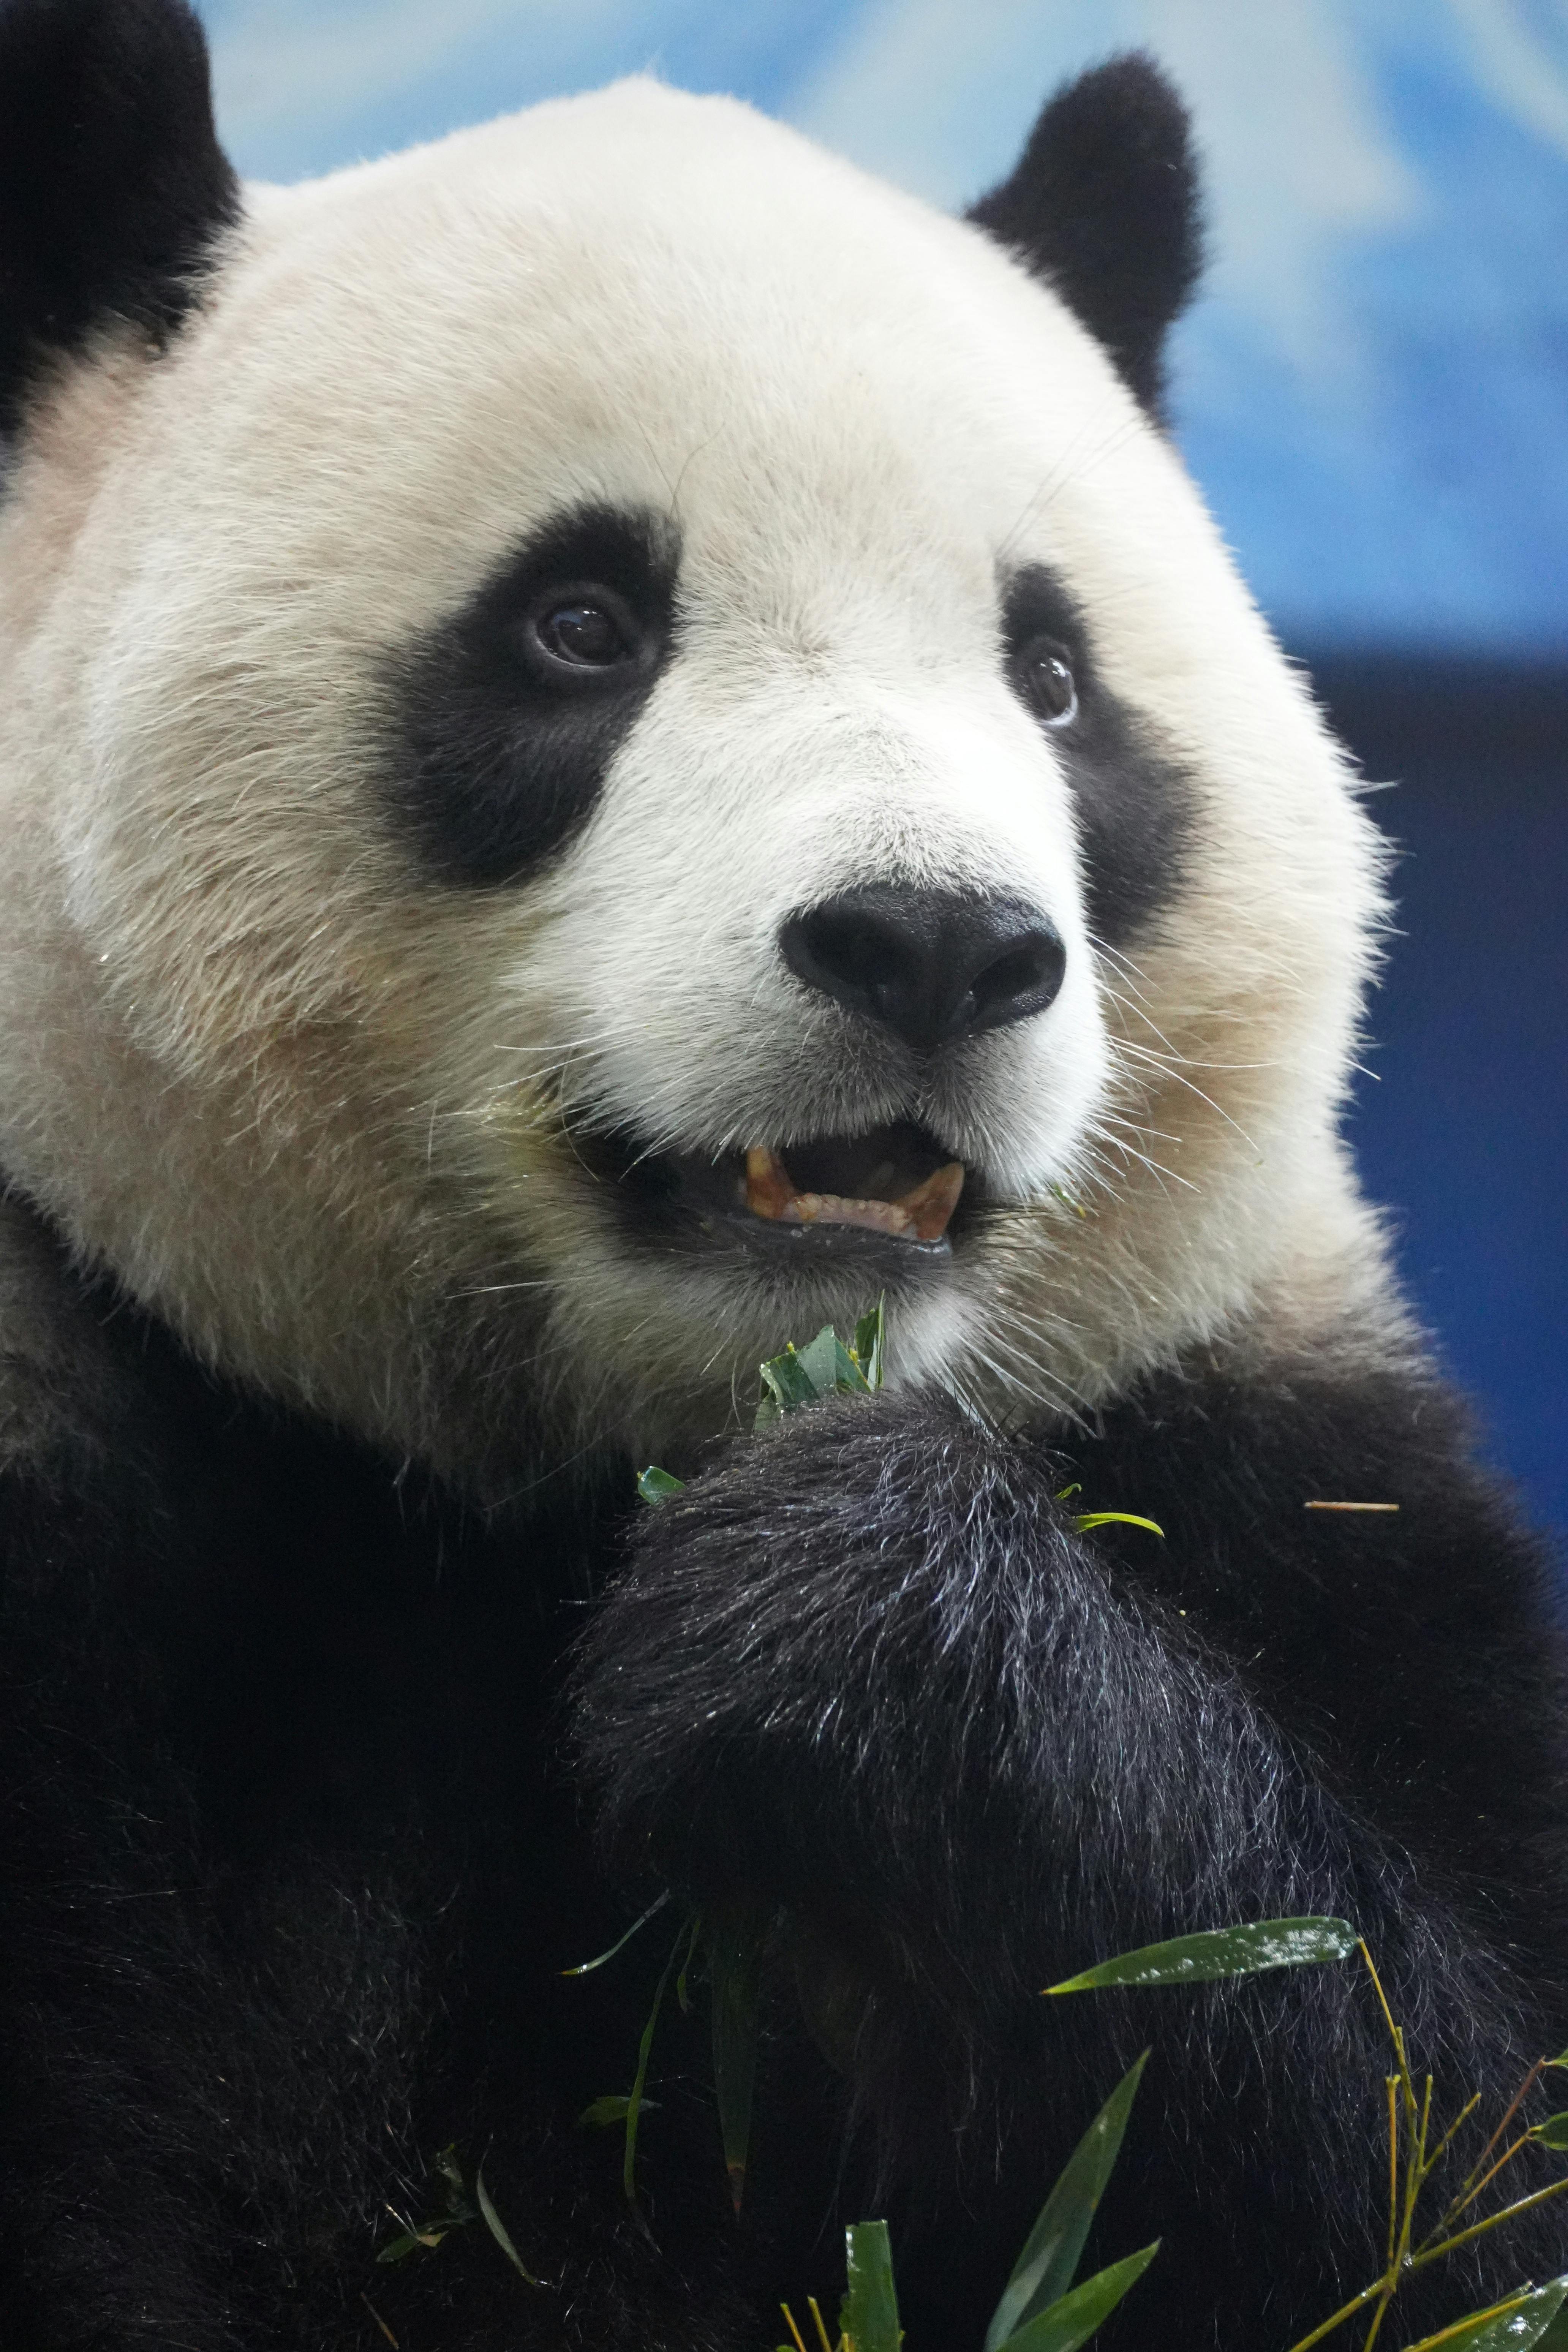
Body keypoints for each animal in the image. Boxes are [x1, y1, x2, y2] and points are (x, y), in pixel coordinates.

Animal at [2, 2, 1565, 2346]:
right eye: (578, 623)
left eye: (1050, 676)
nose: (930, 943)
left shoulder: (1281, 1458)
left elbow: (1443, 2146)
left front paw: (845, 1635)